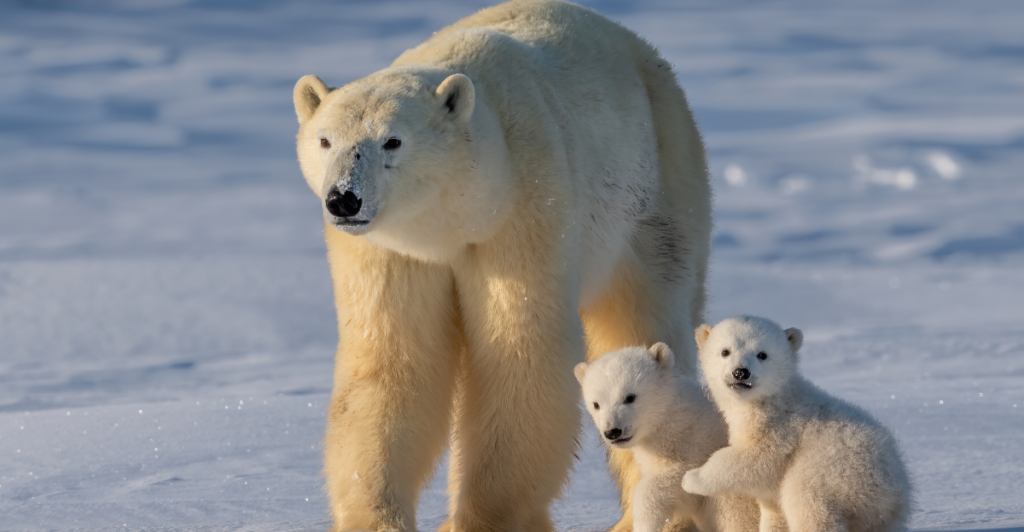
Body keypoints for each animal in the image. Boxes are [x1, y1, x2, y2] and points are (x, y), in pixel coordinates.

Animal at [291, 1, 712, 530]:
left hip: (656, 187)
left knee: (644, 316)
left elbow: (520, 355)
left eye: (392, 141)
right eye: (325, 140)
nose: (344, 199)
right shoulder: (391, 251)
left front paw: (480, 518)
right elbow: (392, 363)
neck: (452, 222)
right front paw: (378, 516)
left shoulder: (522, 209)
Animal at [575, 343, 760, 532]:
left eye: (630, 397)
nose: (612, 431)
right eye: (596, 404)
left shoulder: (697, 443)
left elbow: (679, 481)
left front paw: (645, 522)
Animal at [682, 316, 913, 532]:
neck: (771, 399)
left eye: (762, 354)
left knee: (806, 501)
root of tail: (896, 493)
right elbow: (773, 509)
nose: (741, 372)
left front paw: (691, 479)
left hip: (835, 470)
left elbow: (752, 459)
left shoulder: (781, 430)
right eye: (725, 351)